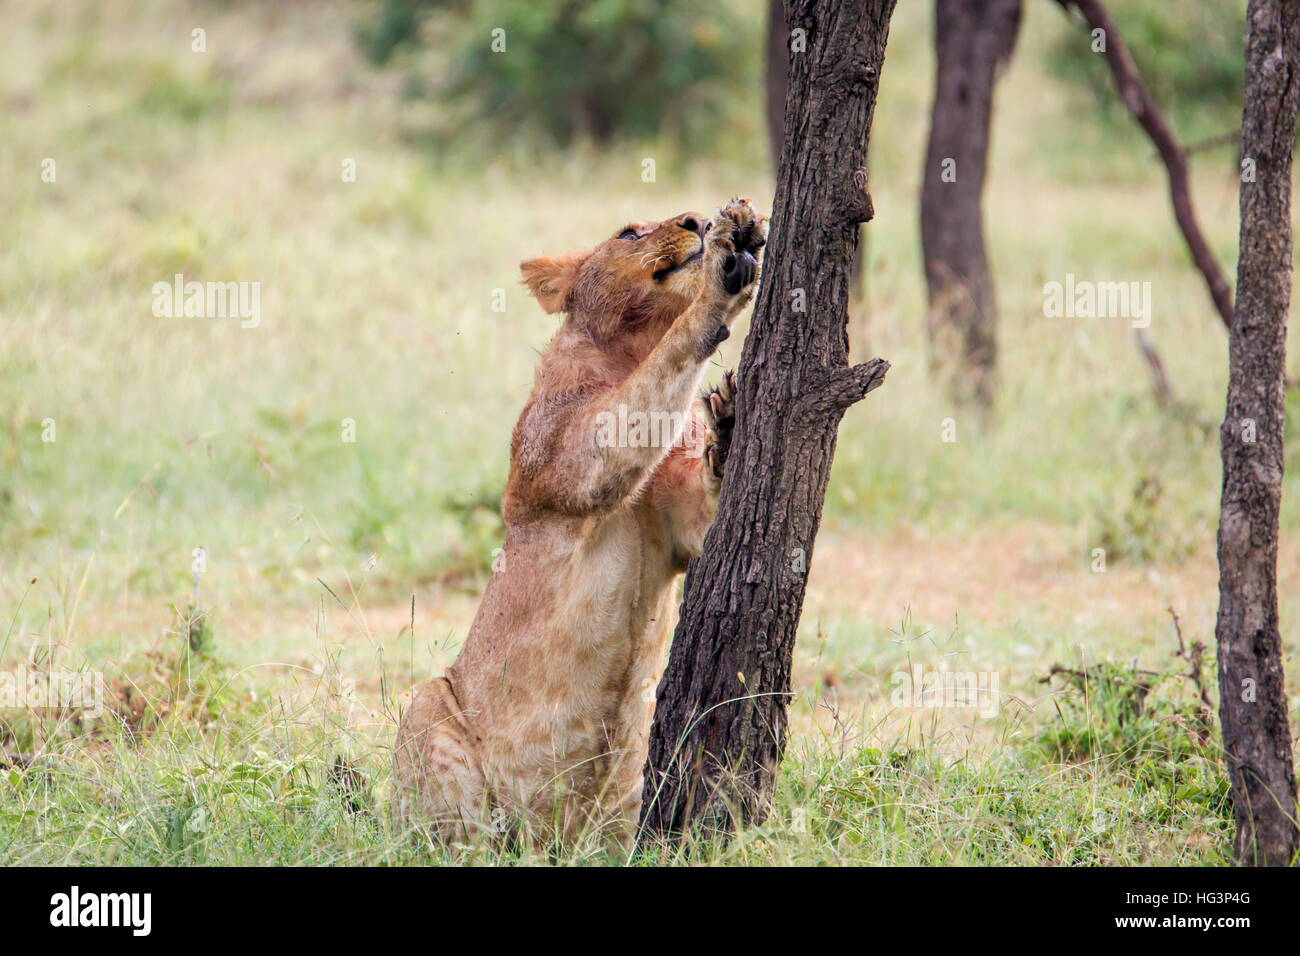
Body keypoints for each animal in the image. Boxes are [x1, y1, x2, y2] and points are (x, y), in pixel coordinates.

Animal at [393, 197, 768, 852]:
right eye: (629, 232)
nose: (697, 221)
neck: (630, 346)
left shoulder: (677, 529)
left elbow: (704, 507)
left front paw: (725, 421)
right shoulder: (576, 461)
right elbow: (654, 379)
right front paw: (721, 277)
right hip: (431, 708)